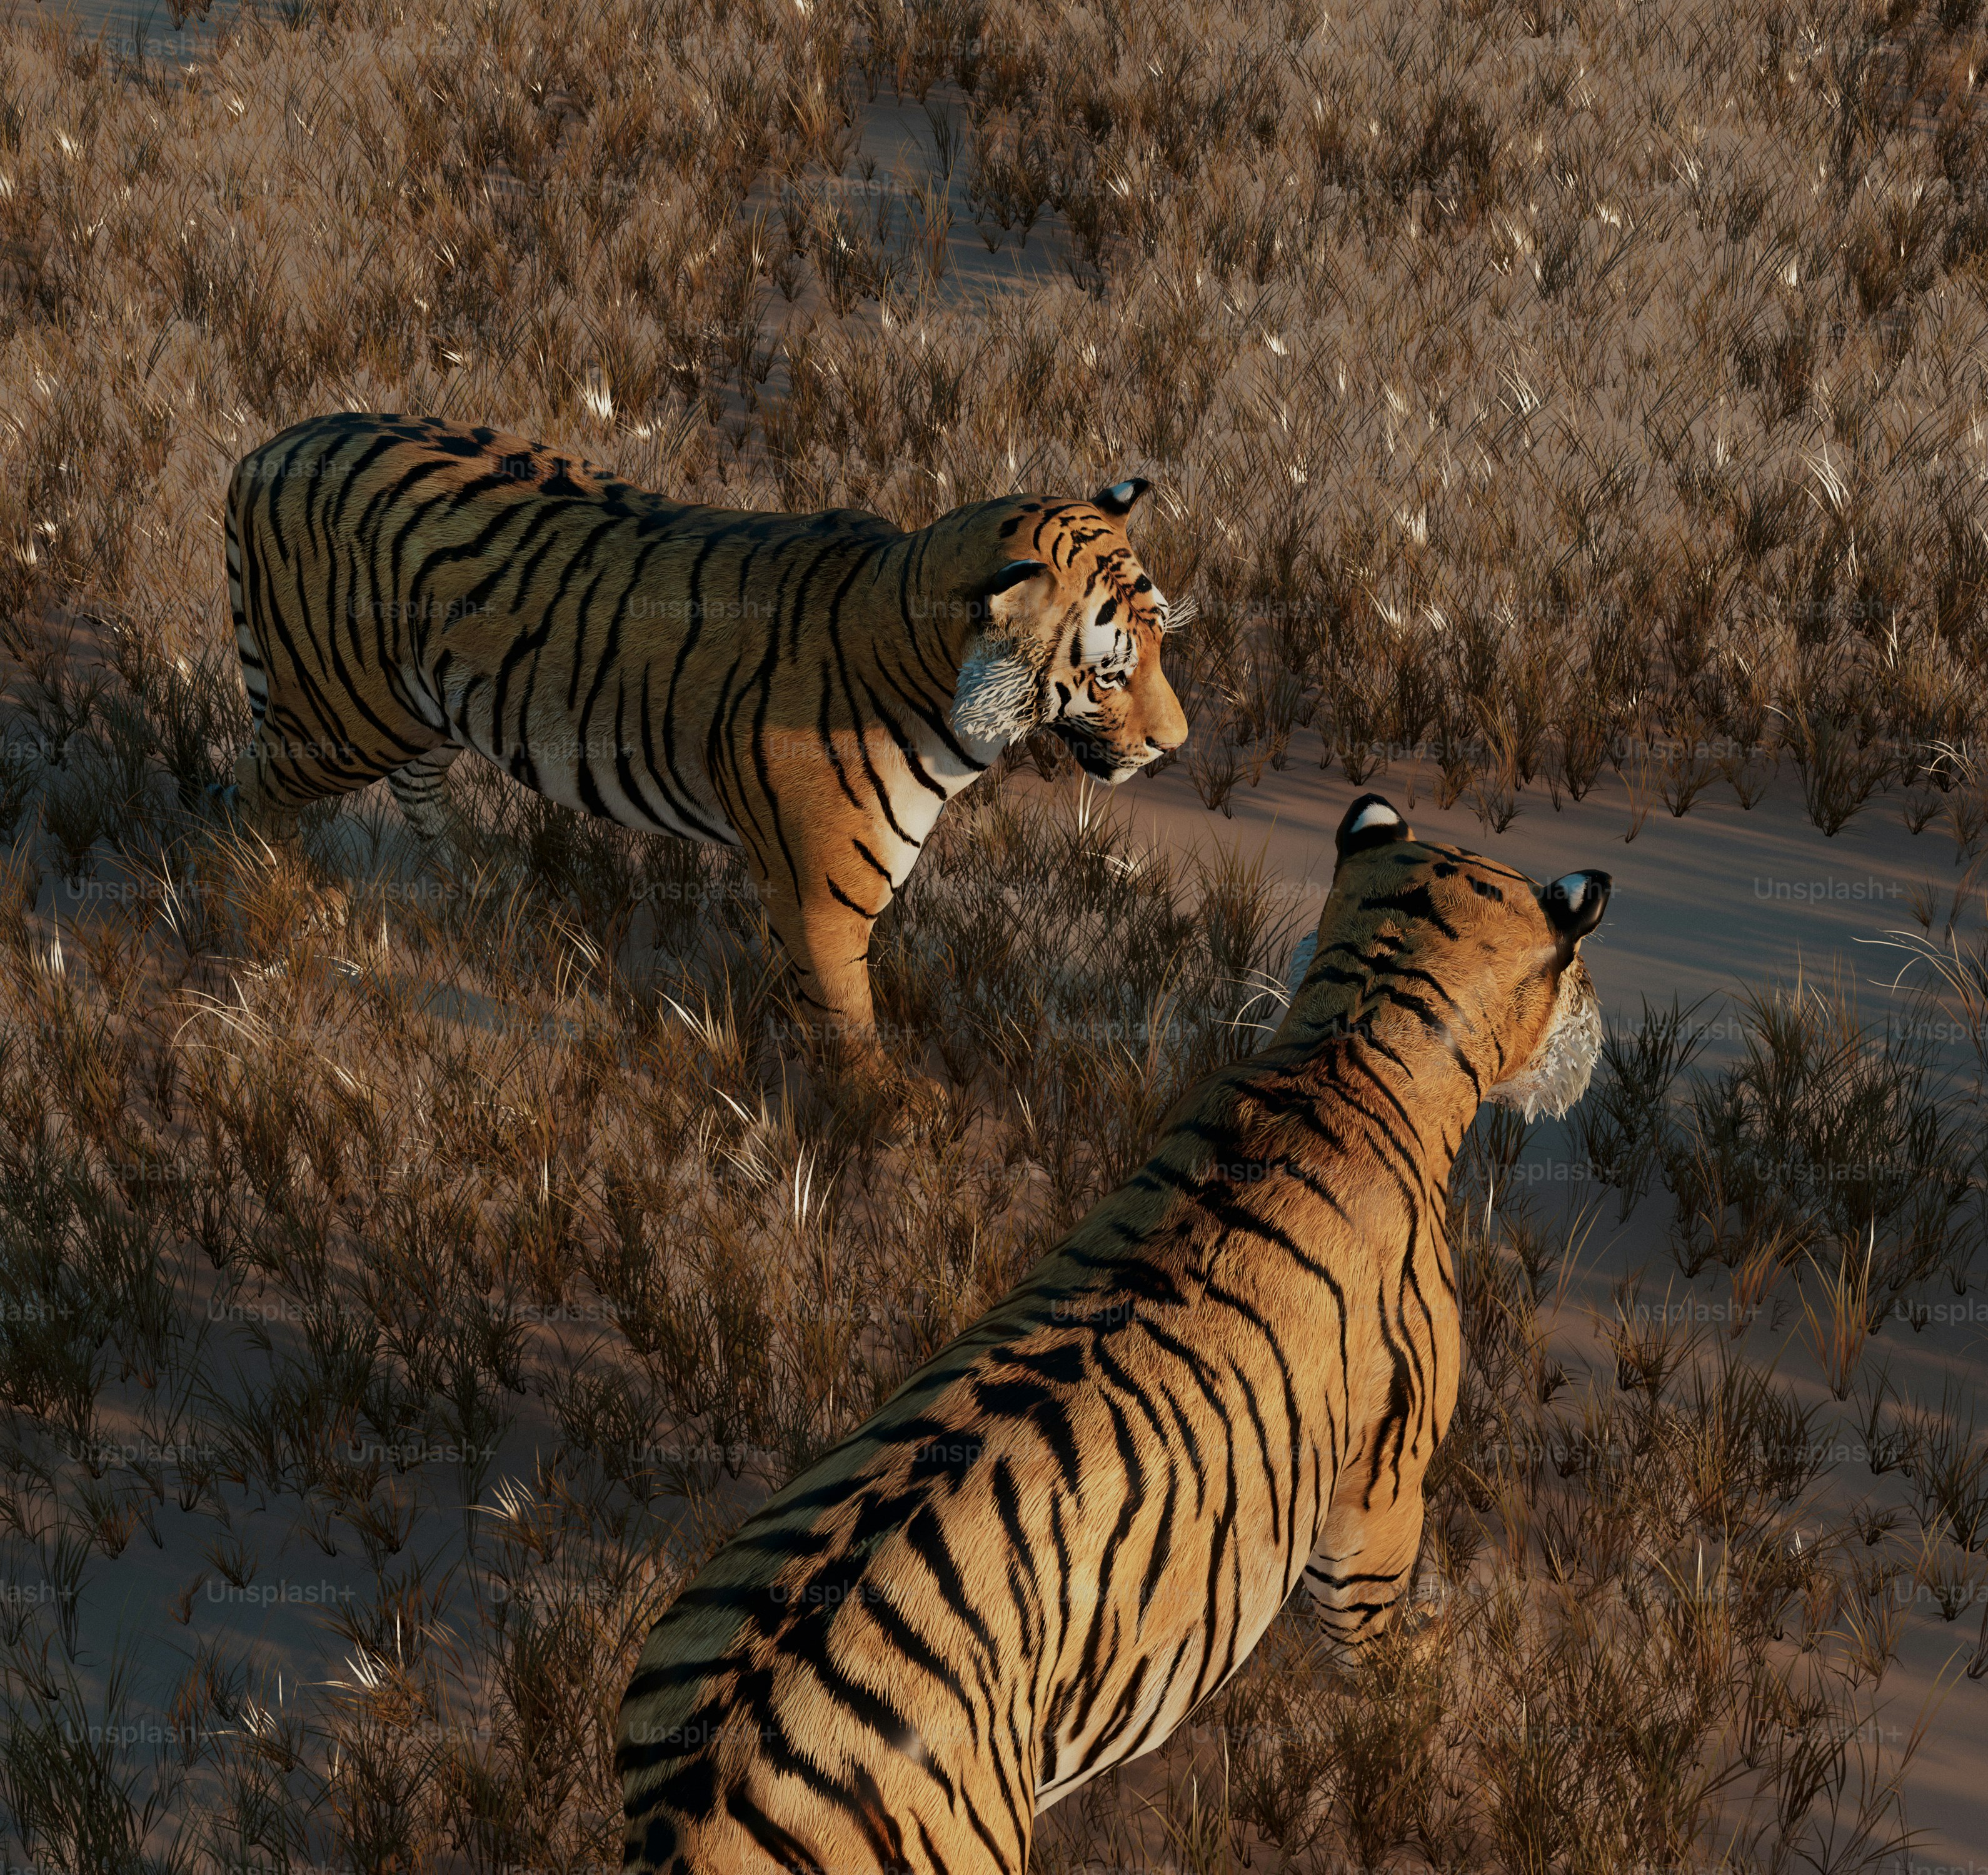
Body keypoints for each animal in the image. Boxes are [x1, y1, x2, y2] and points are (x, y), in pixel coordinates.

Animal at [219, 411, 1188, 1068]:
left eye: (1162, 640)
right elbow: (851, 1034)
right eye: (1111, 672)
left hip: (427, 710)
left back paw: (482, 893)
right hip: (343, 716)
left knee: (419, 799)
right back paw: (265, 895)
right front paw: (886, 1136)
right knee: (251, 794)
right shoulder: (824, 899)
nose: (1172, 747)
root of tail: (272, 446)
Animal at [614, 791, 1612, 1874]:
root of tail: (707, 1777)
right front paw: (1414, 1683)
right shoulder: (1382, 1486)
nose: (1598, 1031)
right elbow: (1373, 1624)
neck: (1354, 1029)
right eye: (1581, 968)